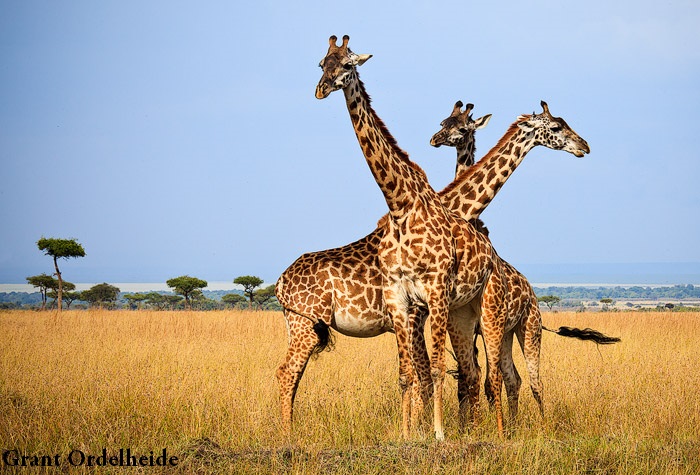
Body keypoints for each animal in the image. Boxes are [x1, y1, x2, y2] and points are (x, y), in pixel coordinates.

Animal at [315, 35, 510, 440]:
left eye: (347, 65)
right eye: (321, 63)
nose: (321, 90)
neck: (400, 203)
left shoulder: (434, 292)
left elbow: (433, 370)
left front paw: (437, 433)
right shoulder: (398, 296)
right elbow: (408, 375)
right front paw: (406, 434)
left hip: (485, 306)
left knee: (491, 371)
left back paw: (497, 432)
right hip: (458, 312)